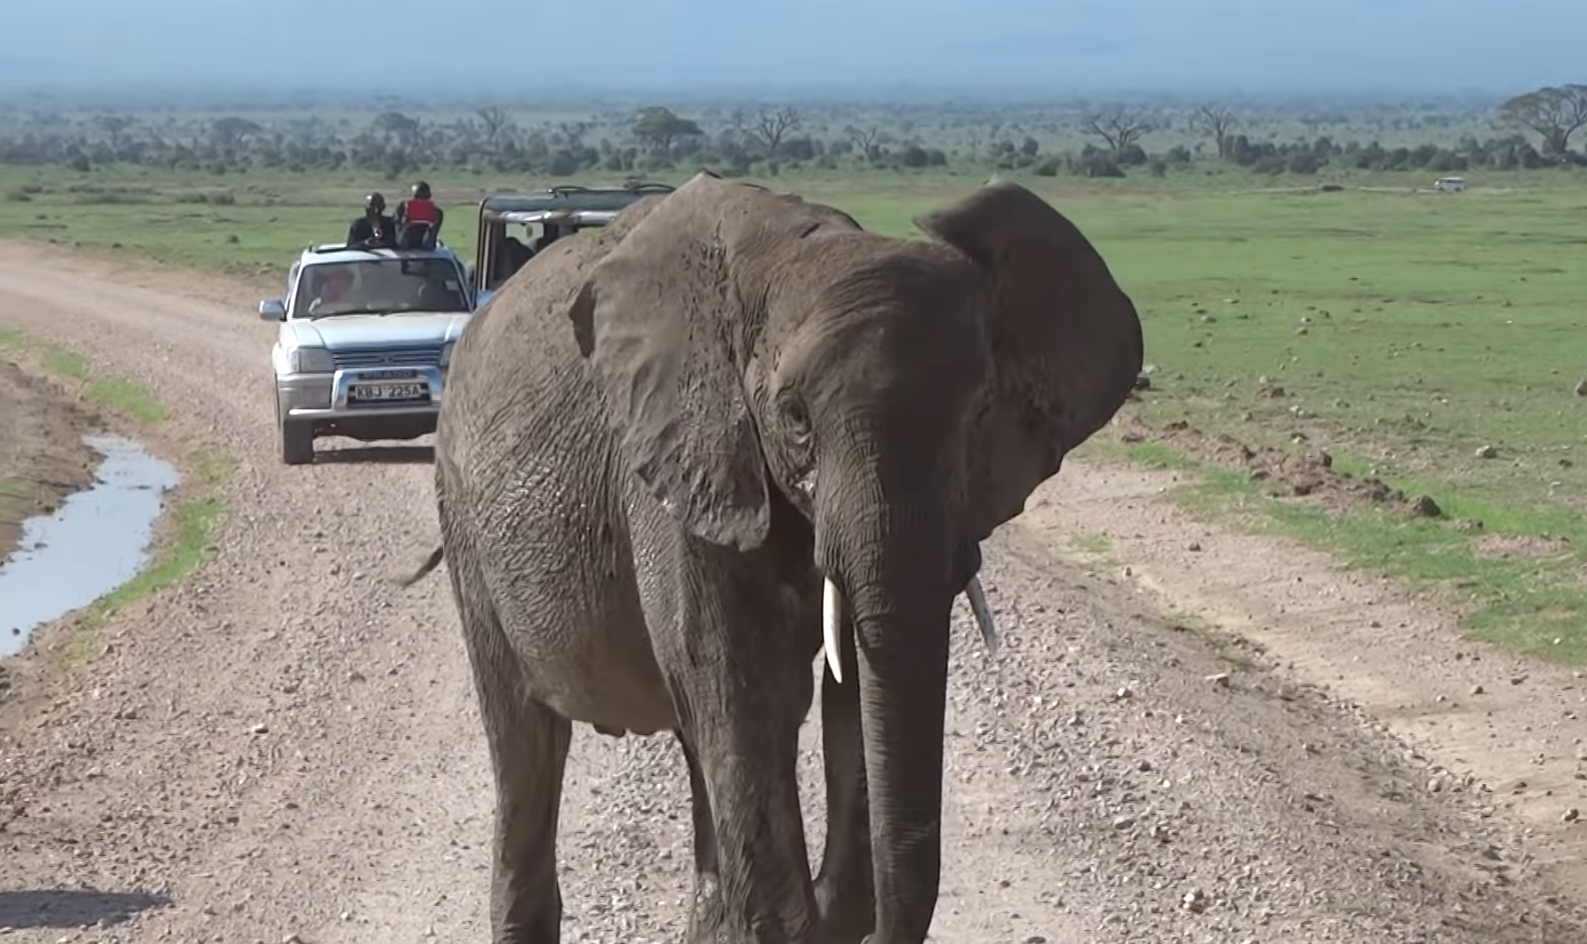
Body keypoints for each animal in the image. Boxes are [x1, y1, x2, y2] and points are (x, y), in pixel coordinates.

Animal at [400, 171, 1144, 944]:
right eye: (793, 418)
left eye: (980, 414)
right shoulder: (683, 461)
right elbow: (744, 689)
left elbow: (848, 695)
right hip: (463, 519)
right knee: (527, 749)